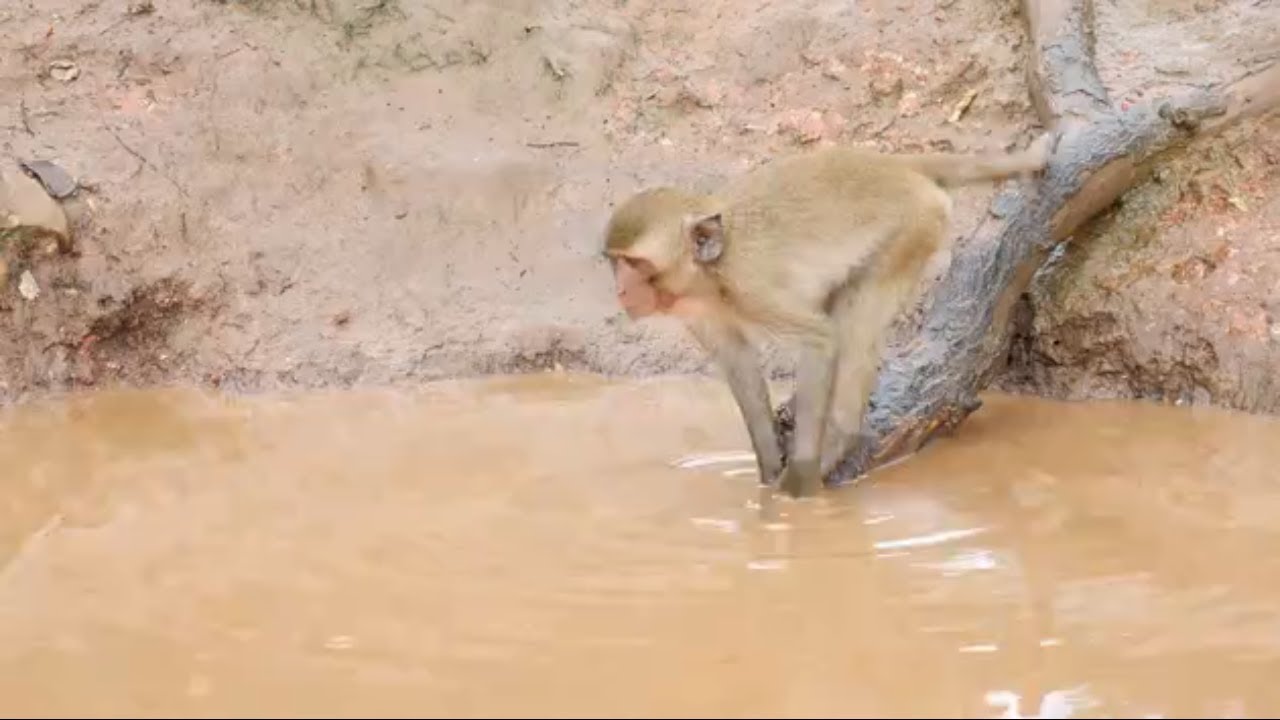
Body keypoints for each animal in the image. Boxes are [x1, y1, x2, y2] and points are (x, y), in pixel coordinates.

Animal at [602, 135, 1052, 498]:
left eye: (636, 264)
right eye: (614, 262)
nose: (620, 290)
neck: (711, 273)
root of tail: (895, 166)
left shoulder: (752, 287)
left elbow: (819, 338)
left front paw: (795, 491)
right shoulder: (701, 311)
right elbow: (738, 361)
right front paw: (768, 474)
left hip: (915, 228)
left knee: (855, 321)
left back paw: (841, 437)